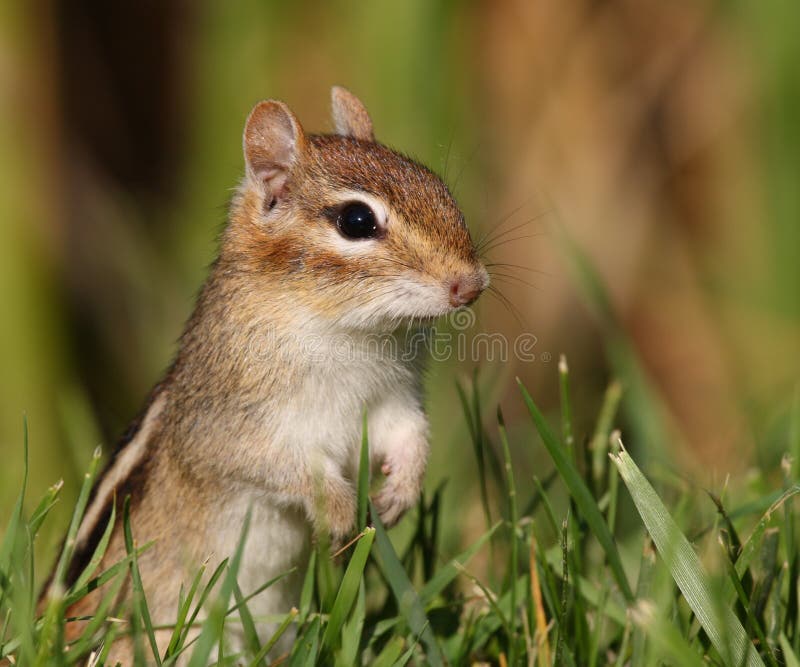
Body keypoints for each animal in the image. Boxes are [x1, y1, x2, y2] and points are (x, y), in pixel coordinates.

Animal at [47, 86, 488, 662]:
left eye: (438, 186)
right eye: (357, 221)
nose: (471, 284)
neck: (350, 336)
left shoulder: (392, 400)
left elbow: (411, 436)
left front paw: (400, 495)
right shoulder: (230, 426)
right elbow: (281, 465)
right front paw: (342, 511)